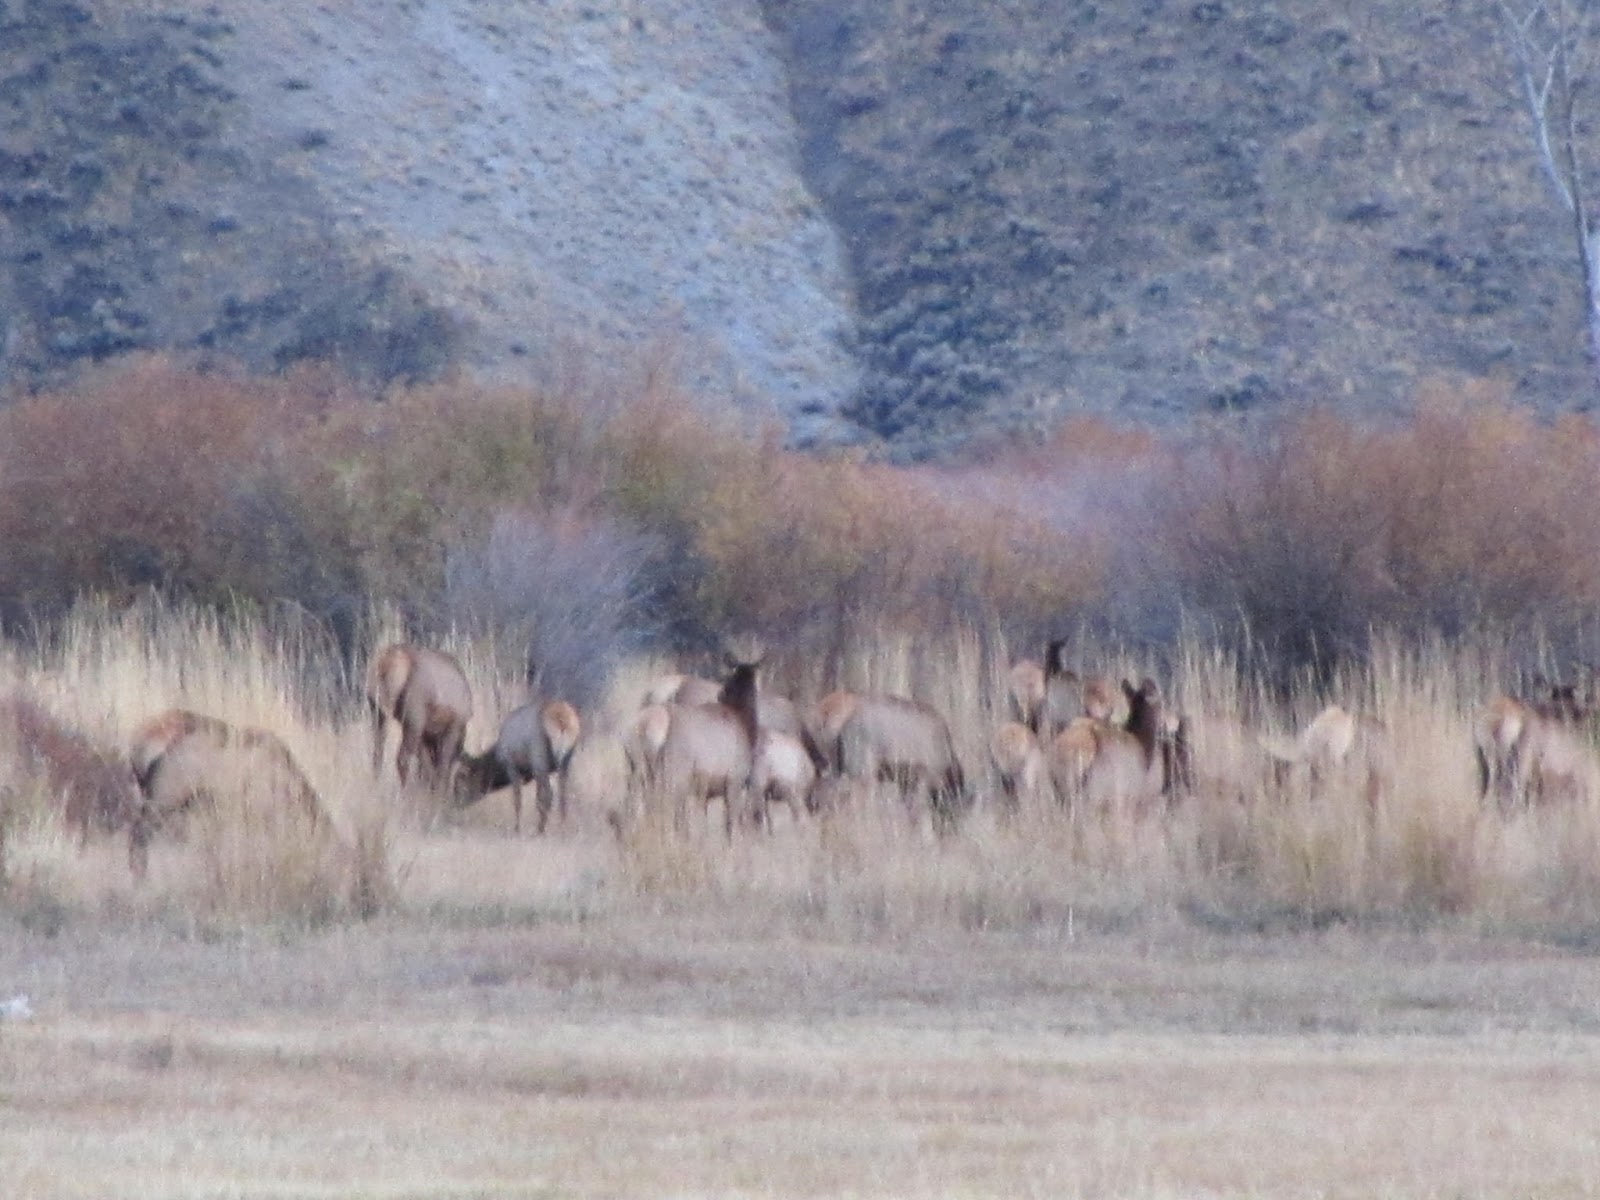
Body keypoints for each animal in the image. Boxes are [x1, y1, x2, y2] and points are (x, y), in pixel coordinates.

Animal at [366, 643, 472, 790]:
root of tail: (388, 662)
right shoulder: (454, 726)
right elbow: (442, 766)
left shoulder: (427, 734)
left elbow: (426, 765)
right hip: (414, 716)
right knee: (402, 758)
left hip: (377, 711)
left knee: (377, 755)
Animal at [452, 700, 582, 834]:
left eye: (461, 778)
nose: (455, 803)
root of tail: (562, 719)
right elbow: (536, 798)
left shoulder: (512, 766)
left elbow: (517, 799)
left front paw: (517, 828)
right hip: (565, 761)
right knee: (562, 796)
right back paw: (562, 826)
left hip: (539, 758)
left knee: (549, 794)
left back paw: (541, 829)